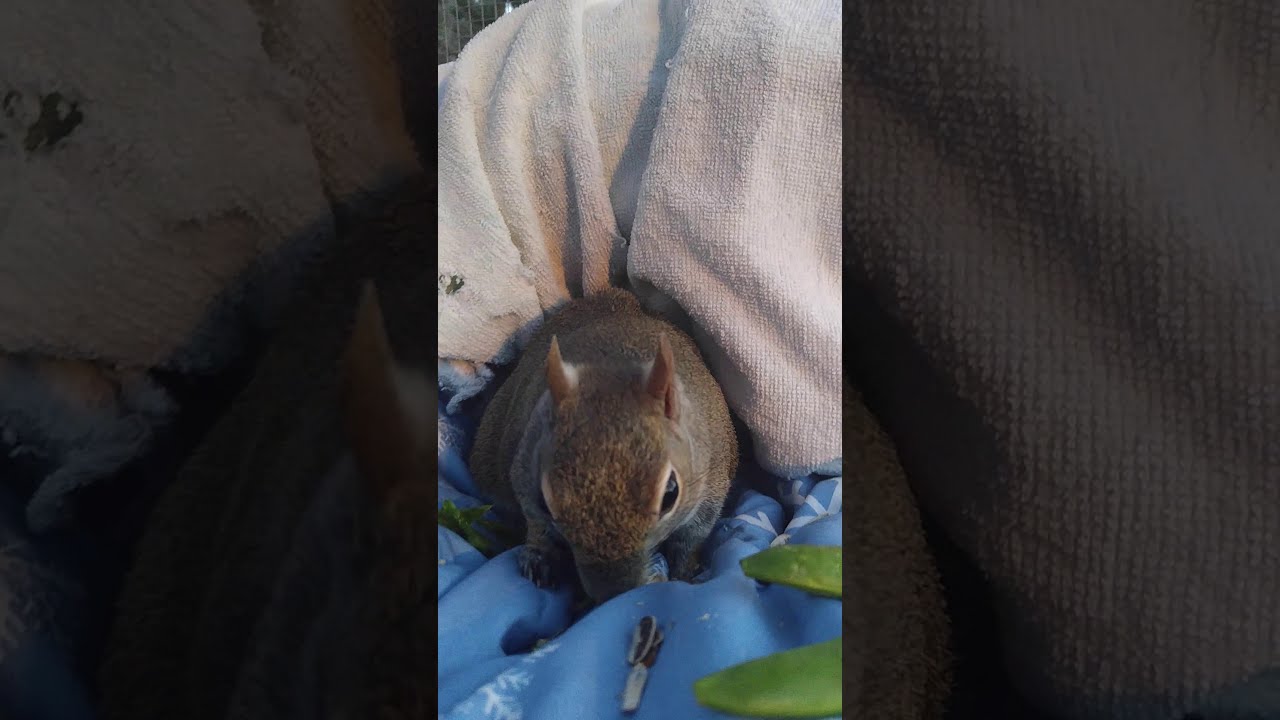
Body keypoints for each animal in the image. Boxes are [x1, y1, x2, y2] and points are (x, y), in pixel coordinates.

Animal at [470, 288, 738, 603]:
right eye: (545, 501)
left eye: (671, 494)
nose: (612, 593)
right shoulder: (524, 472)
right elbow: (536, 523)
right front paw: (539, 556)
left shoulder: (711, 487)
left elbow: (692, 539)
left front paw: (684, 573)